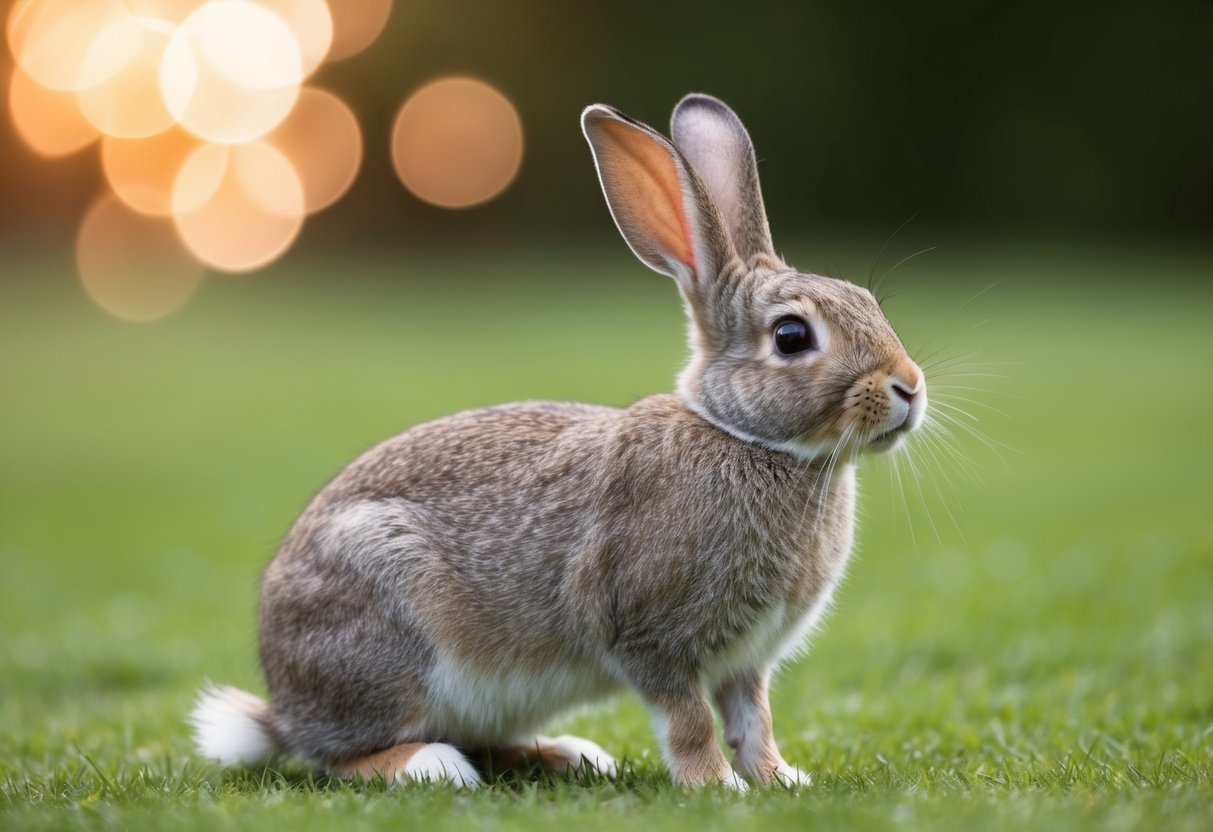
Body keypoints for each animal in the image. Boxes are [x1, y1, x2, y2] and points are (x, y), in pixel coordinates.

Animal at [190, 93, 927, 791]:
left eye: (867, 301)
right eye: (792, 337)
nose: (910, 387)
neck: (746, 437)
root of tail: (286, 710)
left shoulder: (744, 663)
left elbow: (755, 722)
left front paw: (779, 779)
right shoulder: (651, 636)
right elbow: (690, 720)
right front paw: (716, 786)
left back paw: (569, 756)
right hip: (393, 643)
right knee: (344, 757)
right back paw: (433, 767)